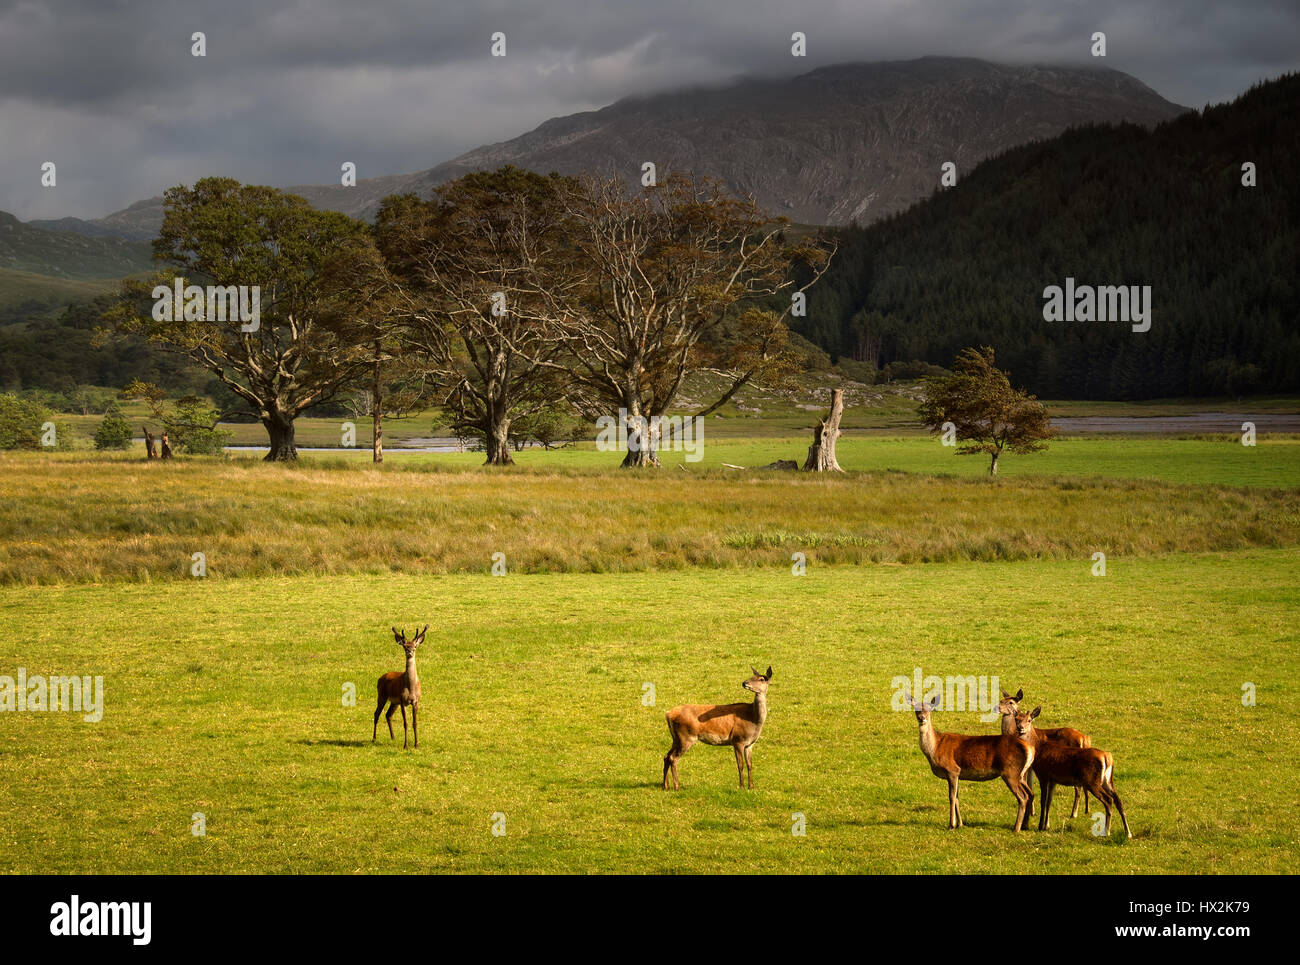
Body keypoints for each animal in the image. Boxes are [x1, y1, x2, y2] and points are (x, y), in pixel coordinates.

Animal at [909, 695, 1034, 831]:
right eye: (916, 709)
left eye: (929, 709)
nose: (922, 718)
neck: (935, 747)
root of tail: (1029, 748)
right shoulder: (956, 774)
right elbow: (957, 797)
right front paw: (960, 824)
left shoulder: (952, 769)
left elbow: (951, 797)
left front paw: (951, 825)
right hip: (1019, 774)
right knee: (1029, 794)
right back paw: (1024, 825)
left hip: (1010, 771)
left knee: (1023, 797)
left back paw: (1016, 828)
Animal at [997, 688, 1092, 818]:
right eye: (1002, 700)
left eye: (1011, 702)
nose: (998, 707)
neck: (1012, 732)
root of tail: (1084, 738)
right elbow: (1030, 785)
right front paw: (1032, 812)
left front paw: (1031, 812)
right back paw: (1086, 810)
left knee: (1078, 788)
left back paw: (1074, 813)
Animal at [1014, 707, 1131, 838]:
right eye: (1016, 719)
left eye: (1029, 720)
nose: (1020, 728)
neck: (1038, 748)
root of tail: (1106, 757)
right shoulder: (1053, 780)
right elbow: (1049, 801)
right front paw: (1046, 826)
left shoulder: (1043, 774)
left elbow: (1043, 801)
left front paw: (1040, 826)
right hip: (1107, 780)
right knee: (1118, 800)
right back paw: (1128, 833)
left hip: (1092, 781)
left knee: (1108, 800)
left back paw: (1107, 831)